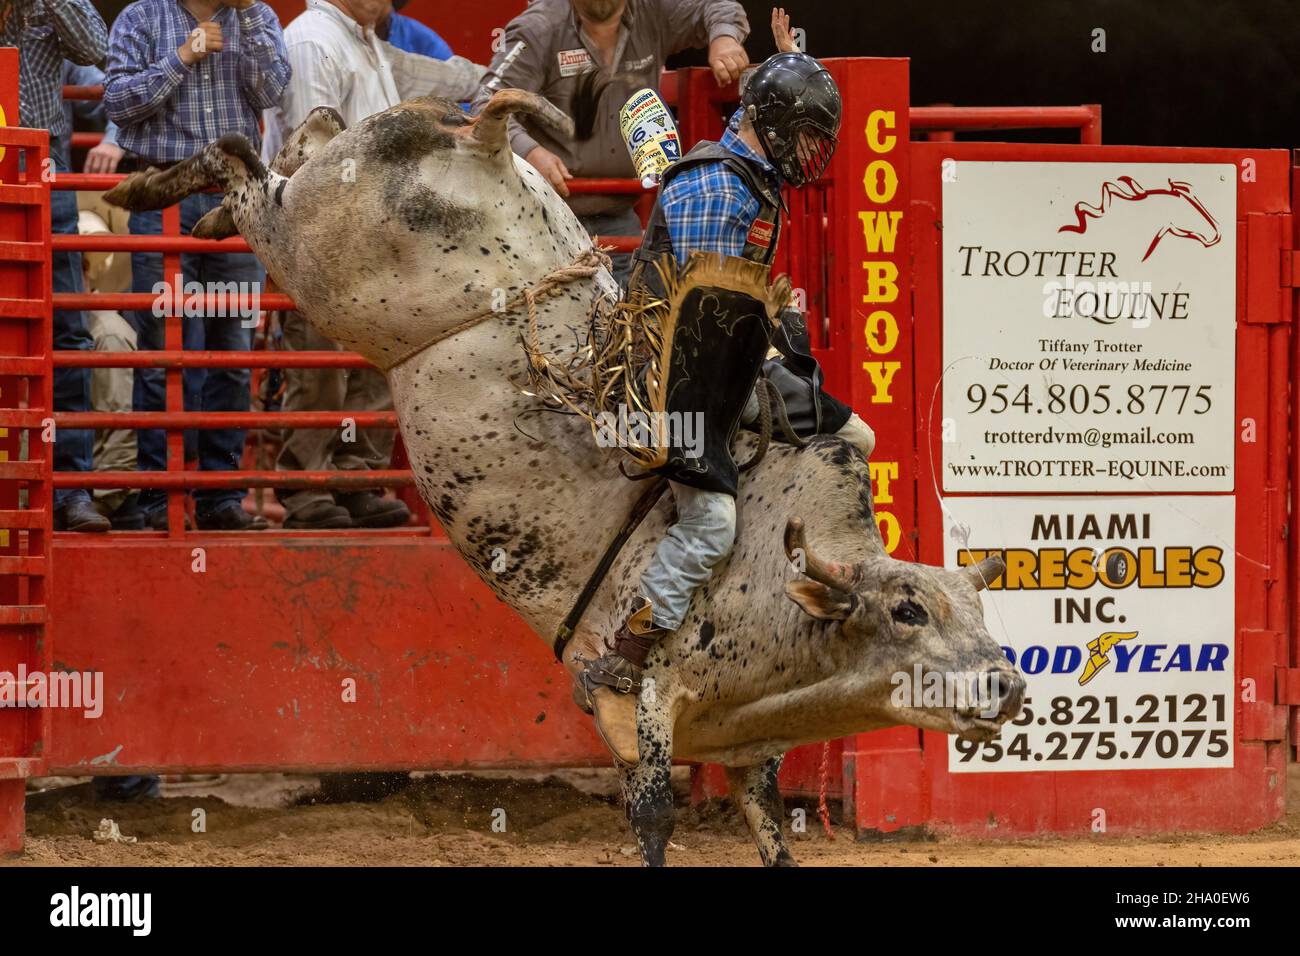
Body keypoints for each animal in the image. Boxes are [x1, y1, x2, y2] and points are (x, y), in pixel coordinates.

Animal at [105, 90, 1025, 867]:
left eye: (977, 607)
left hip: (327, 197)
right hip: (307, 245)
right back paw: (154, 185)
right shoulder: (645, 710)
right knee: (240, 162)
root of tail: (473, 138)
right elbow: (652, 817)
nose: (1008, 681)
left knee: (309, 131)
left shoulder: (747, 753)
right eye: (907, 610)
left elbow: (772, 834)